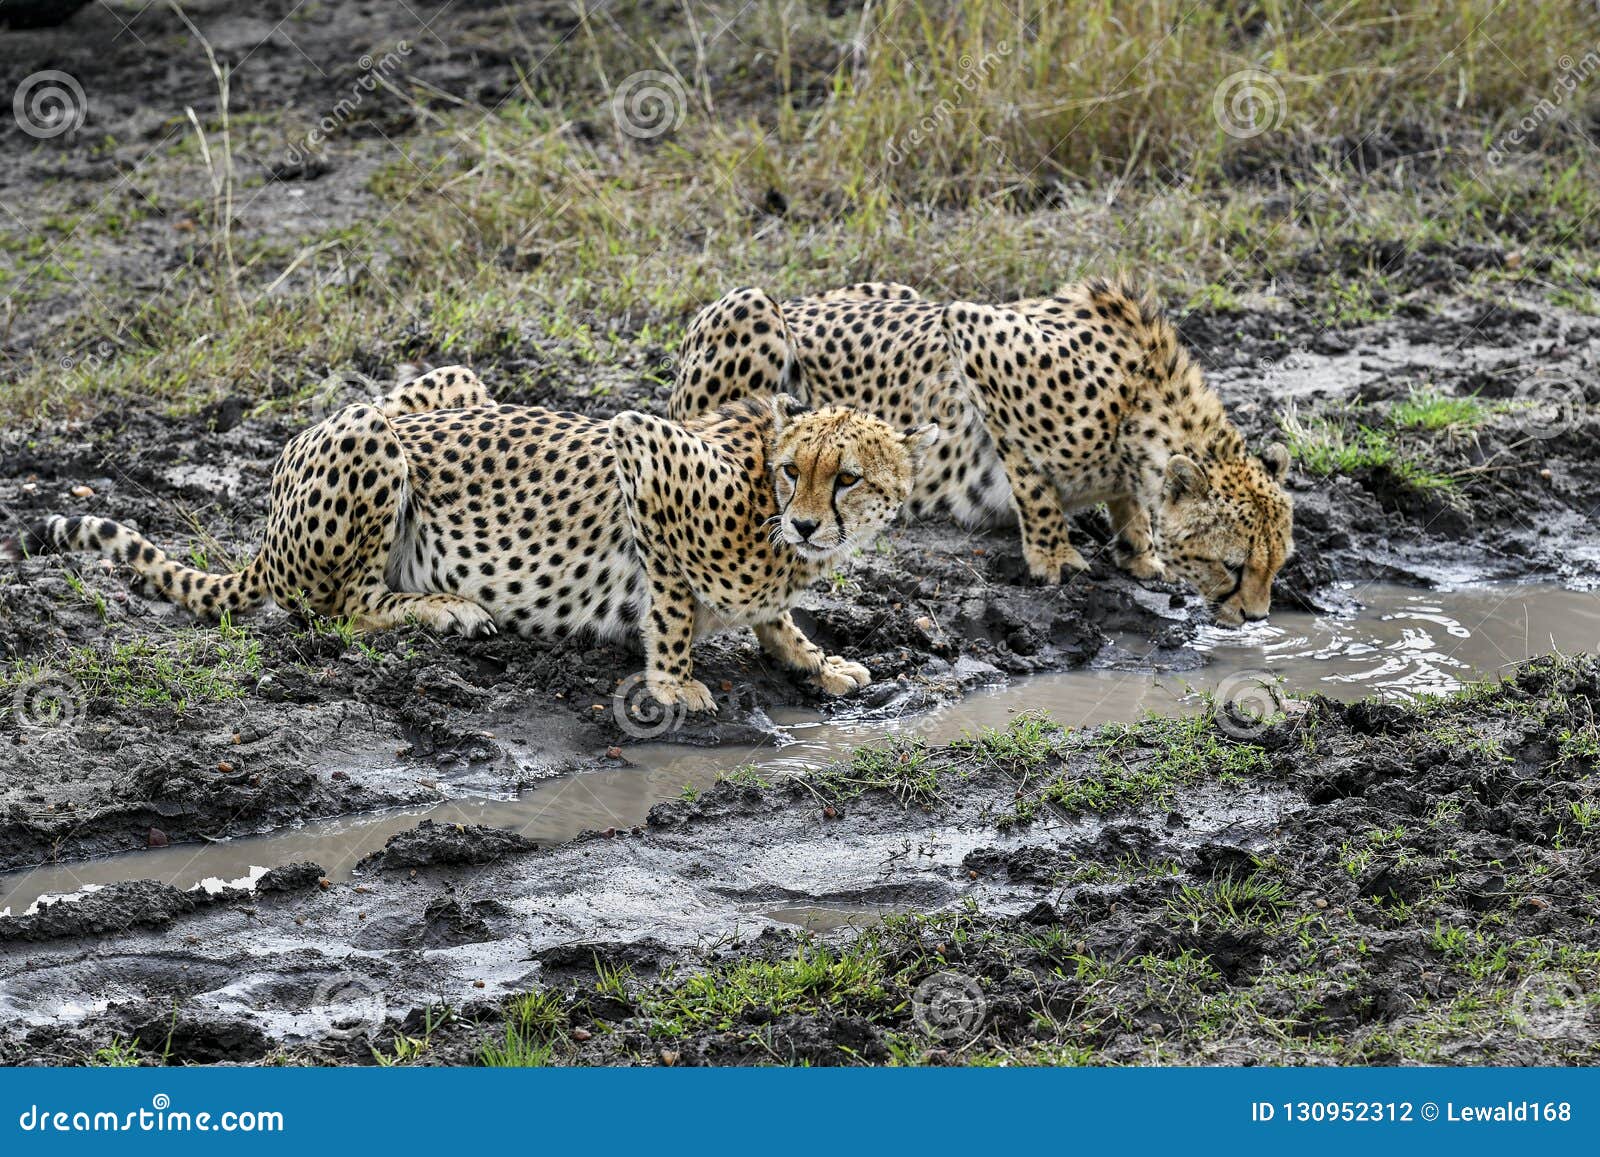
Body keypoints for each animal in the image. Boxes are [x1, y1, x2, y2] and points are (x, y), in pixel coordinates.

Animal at [1, 367, 939, 711]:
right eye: (792, 470)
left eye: (847, 477)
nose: (807, 520)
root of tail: (268, 513)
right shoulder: (641, 448)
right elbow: (671, 600)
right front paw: (673, 683)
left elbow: (776, 619)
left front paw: (819, 660)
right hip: (371, 441)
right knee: (336, 607)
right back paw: (445, 608)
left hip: (455, 381)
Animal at [669, 279, 1293, 625]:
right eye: (1231, 565)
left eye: (1277, 565)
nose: (1257, 616)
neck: (1139, 404)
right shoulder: (973, 328)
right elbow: (1031, 480)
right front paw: (1054, 557)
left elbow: (1132, 508)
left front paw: (1138, 547)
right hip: (753, 307)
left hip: (895, 289)